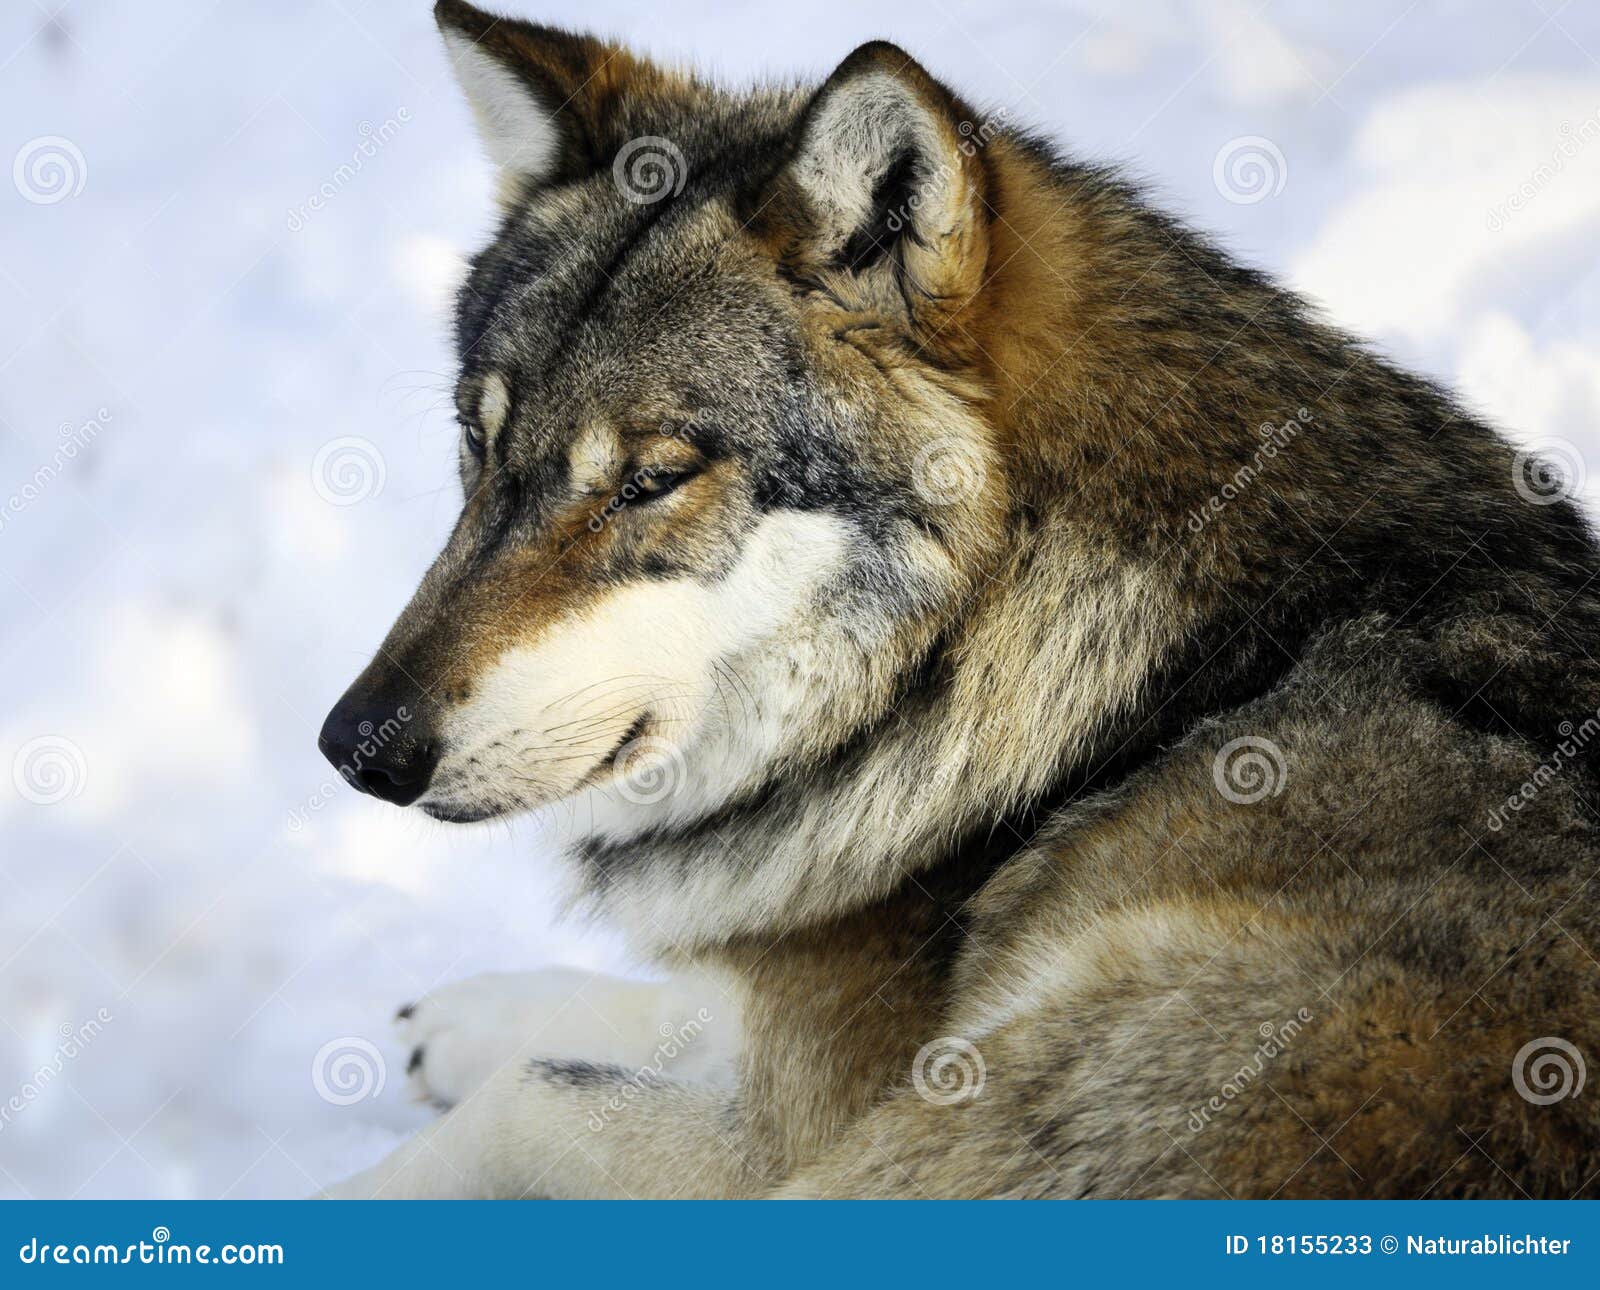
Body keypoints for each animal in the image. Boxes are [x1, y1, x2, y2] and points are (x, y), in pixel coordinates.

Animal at [317, 0, 1600, 1198]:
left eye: (650, 480)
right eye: (479, 448)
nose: (356, 747)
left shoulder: (793, 1136)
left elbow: (534, 1098)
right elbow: (678, 1013)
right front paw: (476, 1015)